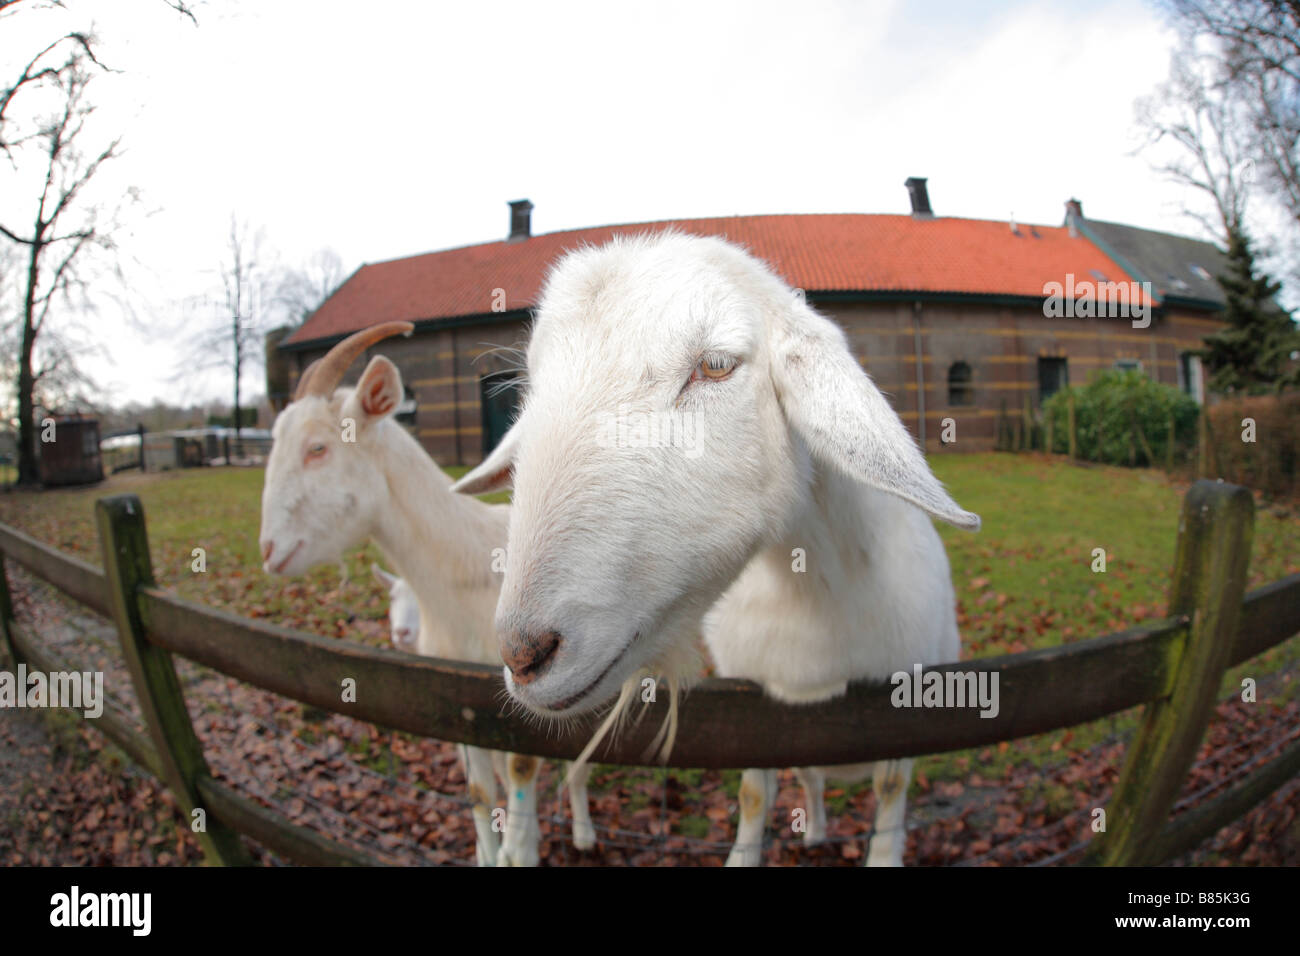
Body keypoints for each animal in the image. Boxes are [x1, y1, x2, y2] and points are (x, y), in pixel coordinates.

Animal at [259, 323, 594, 865]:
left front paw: (519, 850)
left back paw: (583, 832)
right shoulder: (456, 709)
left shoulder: (527, 694)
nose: (270, 550)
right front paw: (490, 852)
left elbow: (522, 773)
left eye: (317, 448)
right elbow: (480, 791)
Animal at [451, 231, 980, 866]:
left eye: (716, 365)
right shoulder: (758, 713)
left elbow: (892, 793)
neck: (821, 601)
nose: (525, 654)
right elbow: (755, 796)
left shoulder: (908, 712)